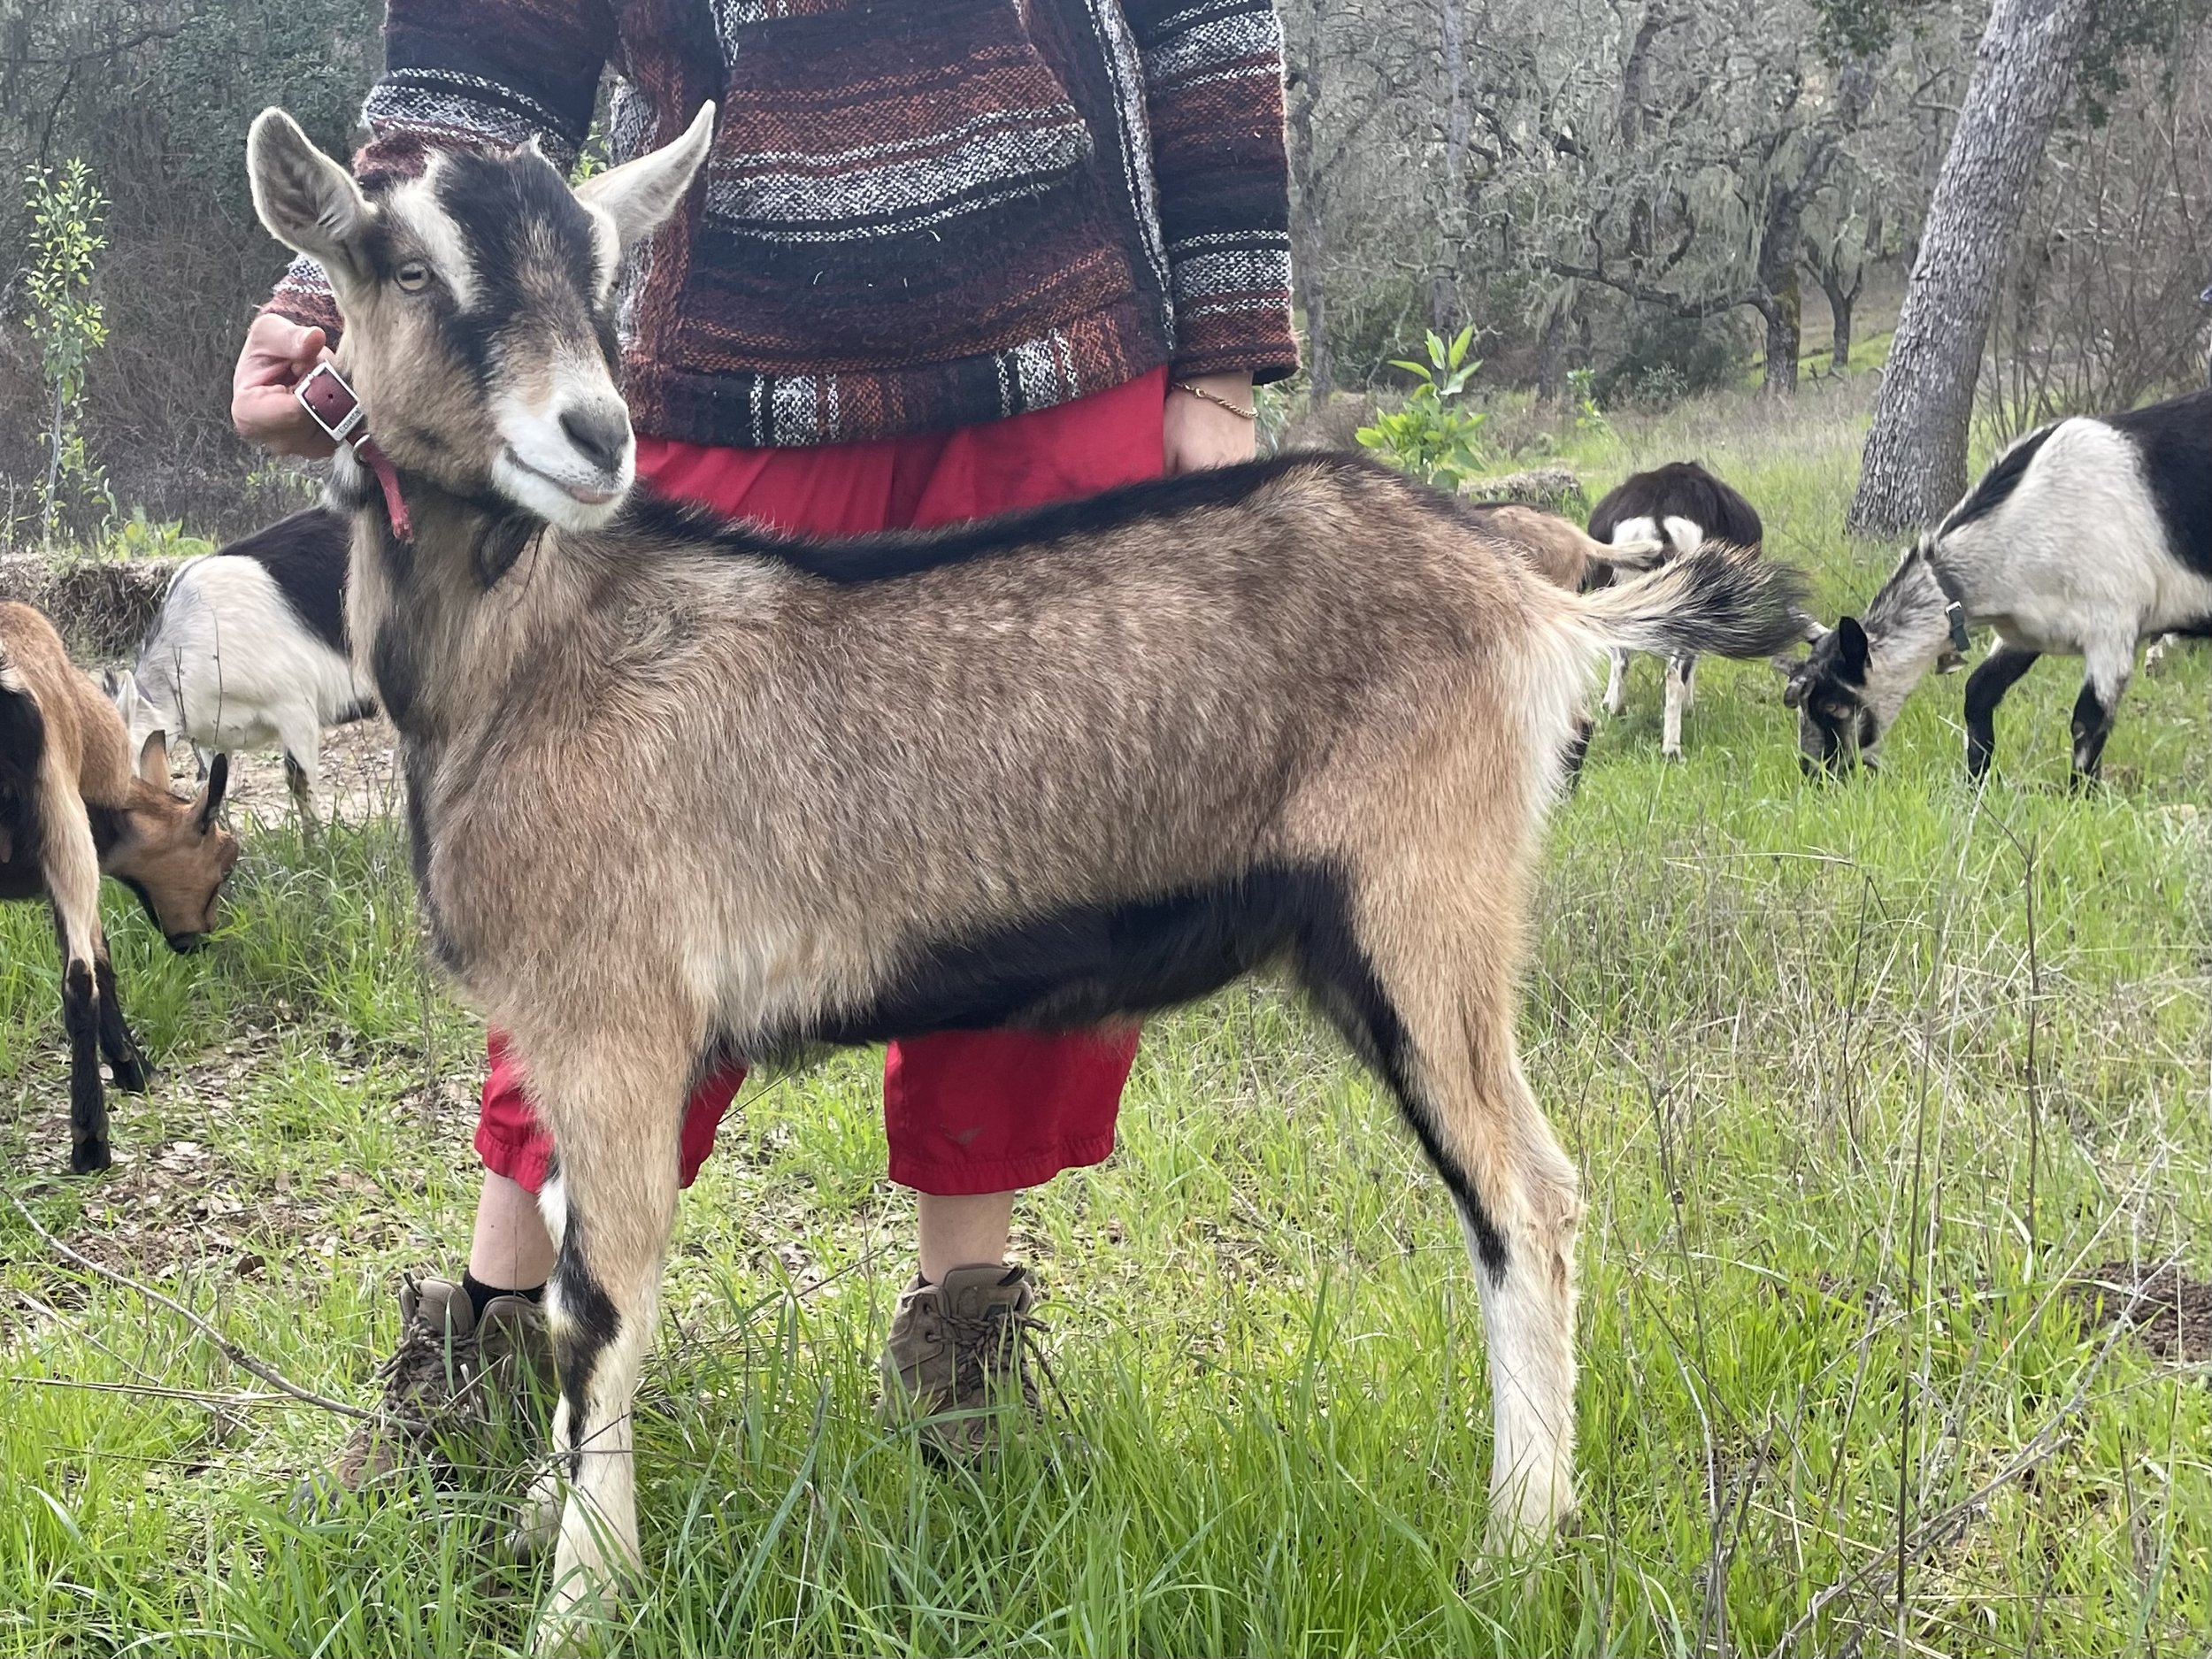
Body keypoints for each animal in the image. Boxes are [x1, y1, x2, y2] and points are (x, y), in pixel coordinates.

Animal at [1, 602, 238, 1173]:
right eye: (225, 865)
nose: (200, 937)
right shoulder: (73, 844)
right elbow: (102, 963)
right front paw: (134, 1069)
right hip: (60, 812)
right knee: (79, 981)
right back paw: (91, 1141)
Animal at [1781, 388, 2212, 782]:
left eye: (1835, 706)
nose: (1816, 774)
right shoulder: (2023, 632)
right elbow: (1978, 692)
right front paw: (1975, 781)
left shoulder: (2111, 627)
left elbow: (2087, 721)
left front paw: (2081, 798)